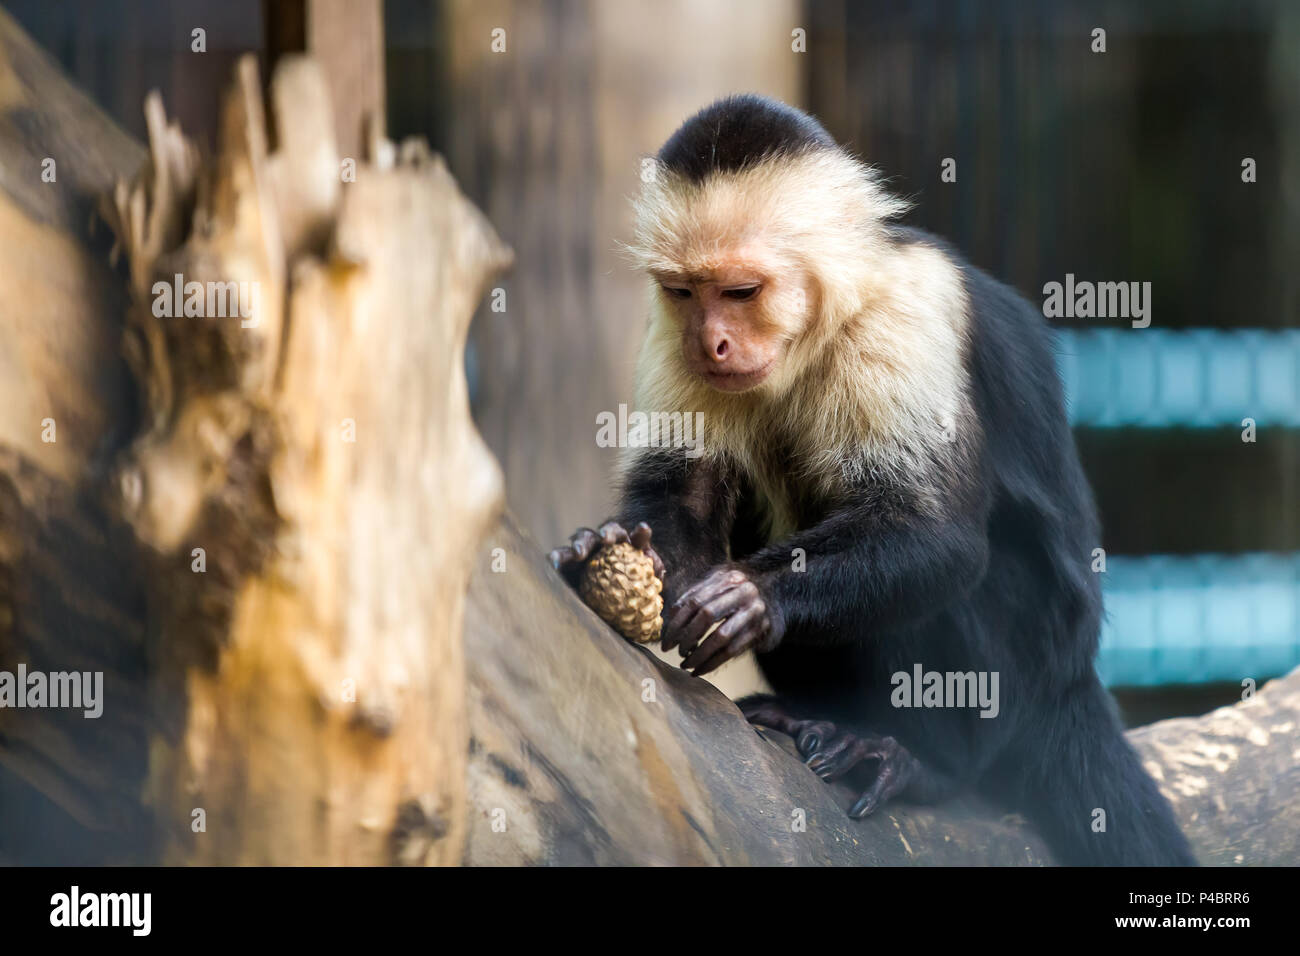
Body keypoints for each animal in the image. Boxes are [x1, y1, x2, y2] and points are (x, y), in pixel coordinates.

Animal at [549, 94, 1196, 866]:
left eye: (741, 291)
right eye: (683, 292)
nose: (713, 343)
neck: (822, 325)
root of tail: (1071, 683)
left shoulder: (905, 320)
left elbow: (934, 534)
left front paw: (754, 595)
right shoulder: (669, 336)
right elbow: (684, 495)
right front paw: (613, 552)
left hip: (1023, 684)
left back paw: (923, 762)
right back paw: (812, 717)